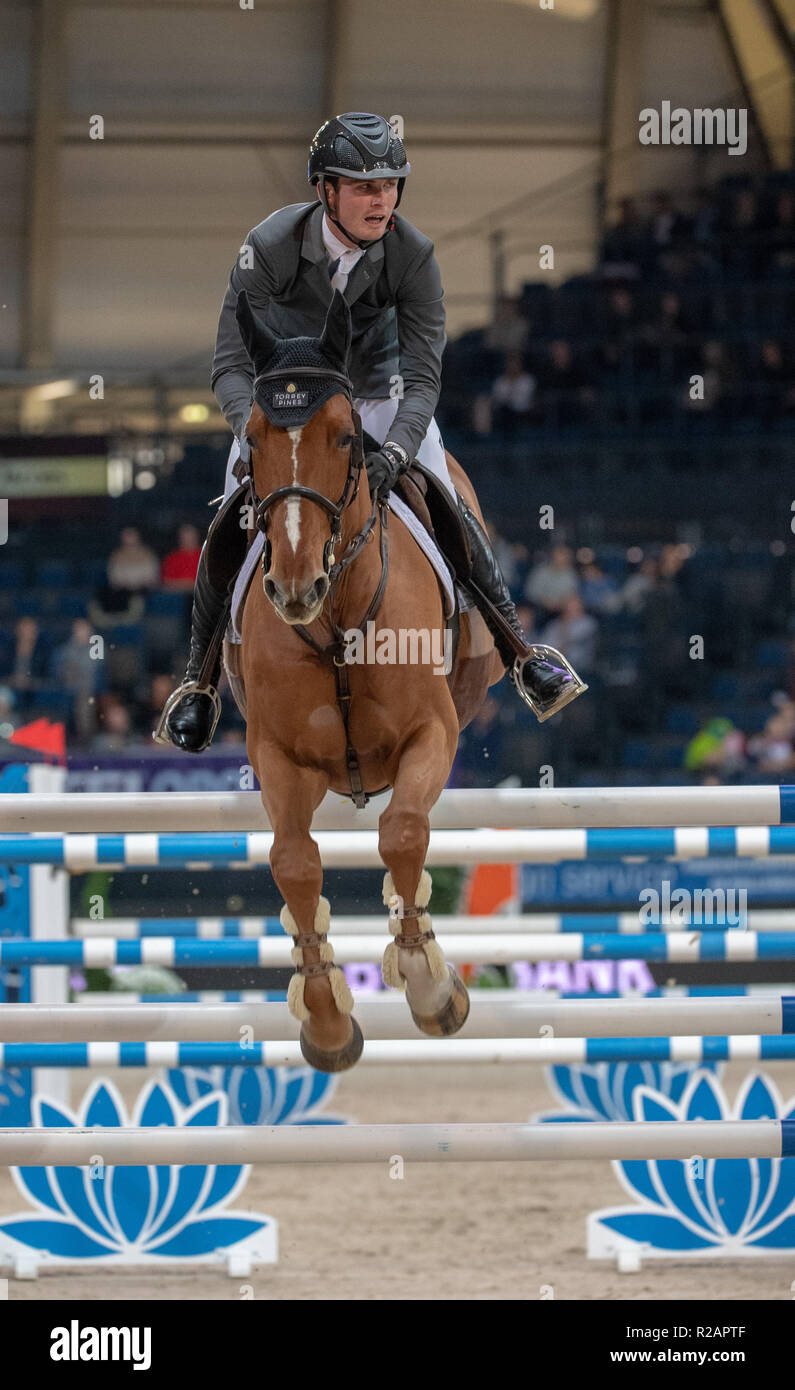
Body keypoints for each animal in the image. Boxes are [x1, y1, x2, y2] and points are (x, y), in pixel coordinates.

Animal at [223, 288, 502, 1072]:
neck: (337, 612)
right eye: (253, 438)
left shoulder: (431, 733)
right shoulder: (279, 756)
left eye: (346, 438)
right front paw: (325, 1018)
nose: (293, 586)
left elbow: (403, 833)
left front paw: (429, 983)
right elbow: (294, 862)